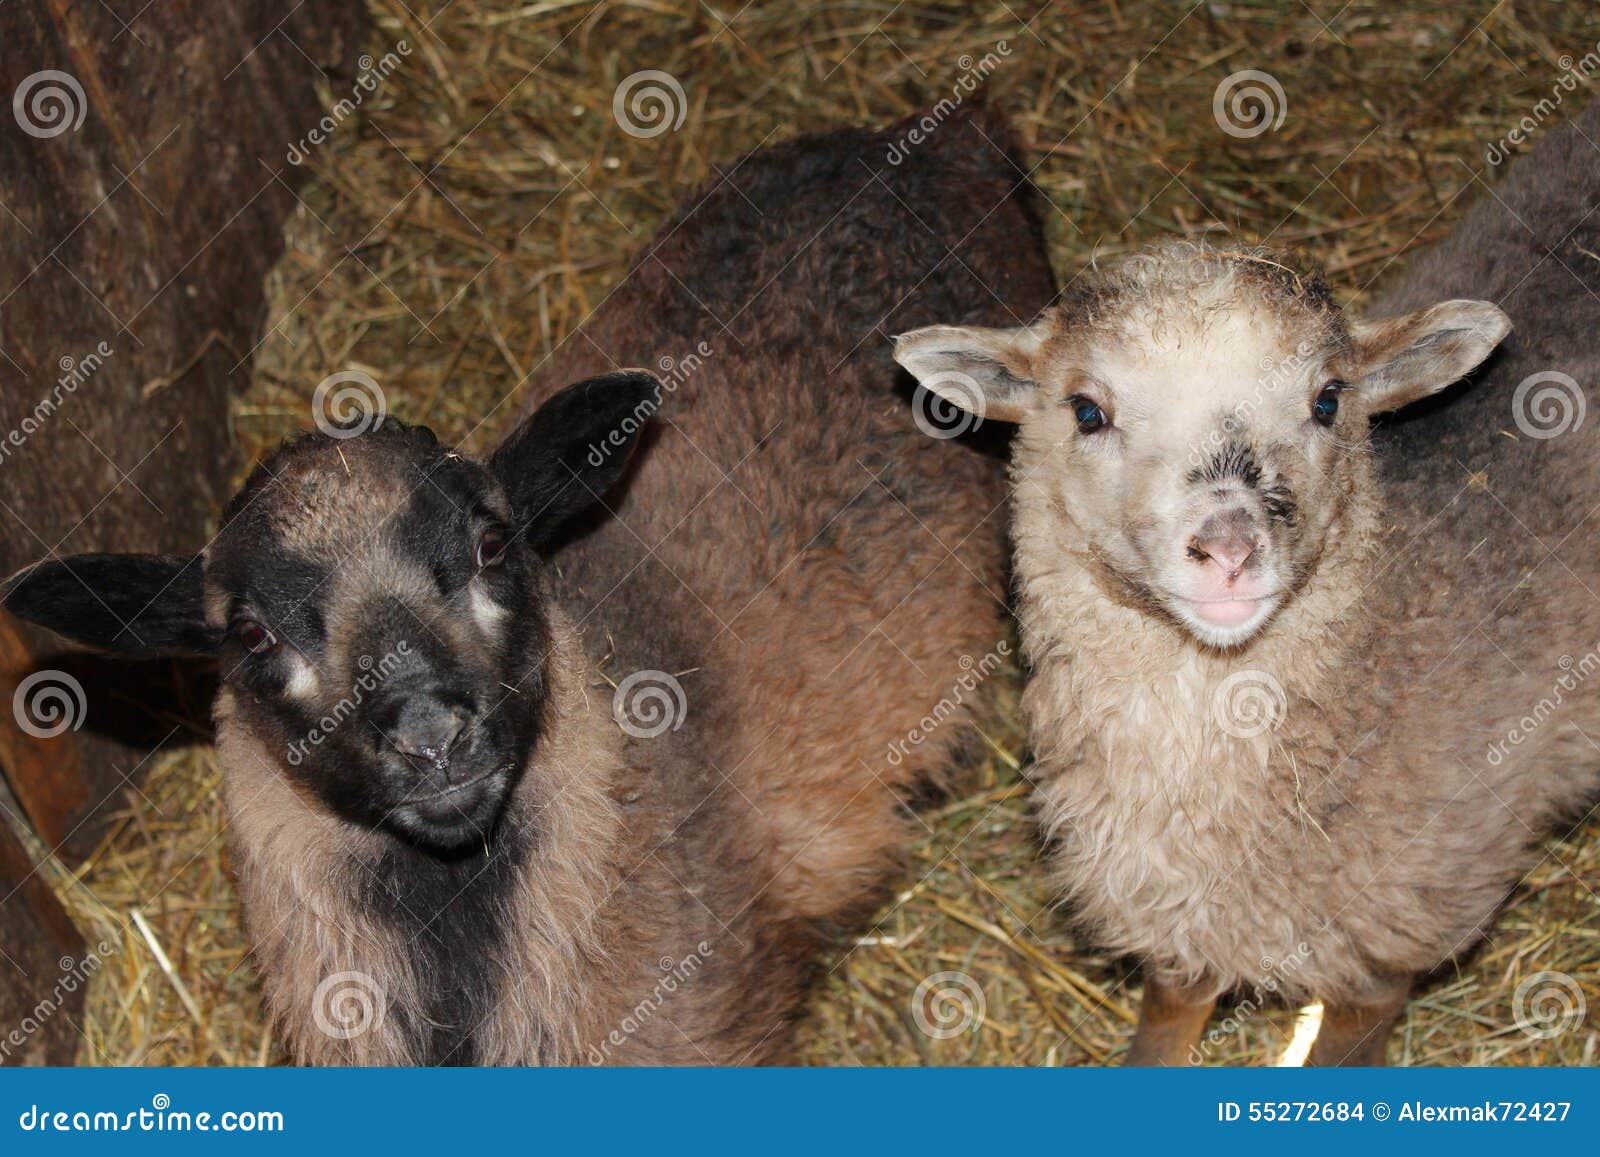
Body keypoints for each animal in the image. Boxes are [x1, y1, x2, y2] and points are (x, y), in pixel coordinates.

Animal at [892, 101, 1600, 1066]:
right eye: (1086, 410)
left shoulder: (1387, 948)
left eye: (1330, 400)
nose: (1229, 546)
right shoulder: (1179, 918)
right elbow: (1167, 1019)